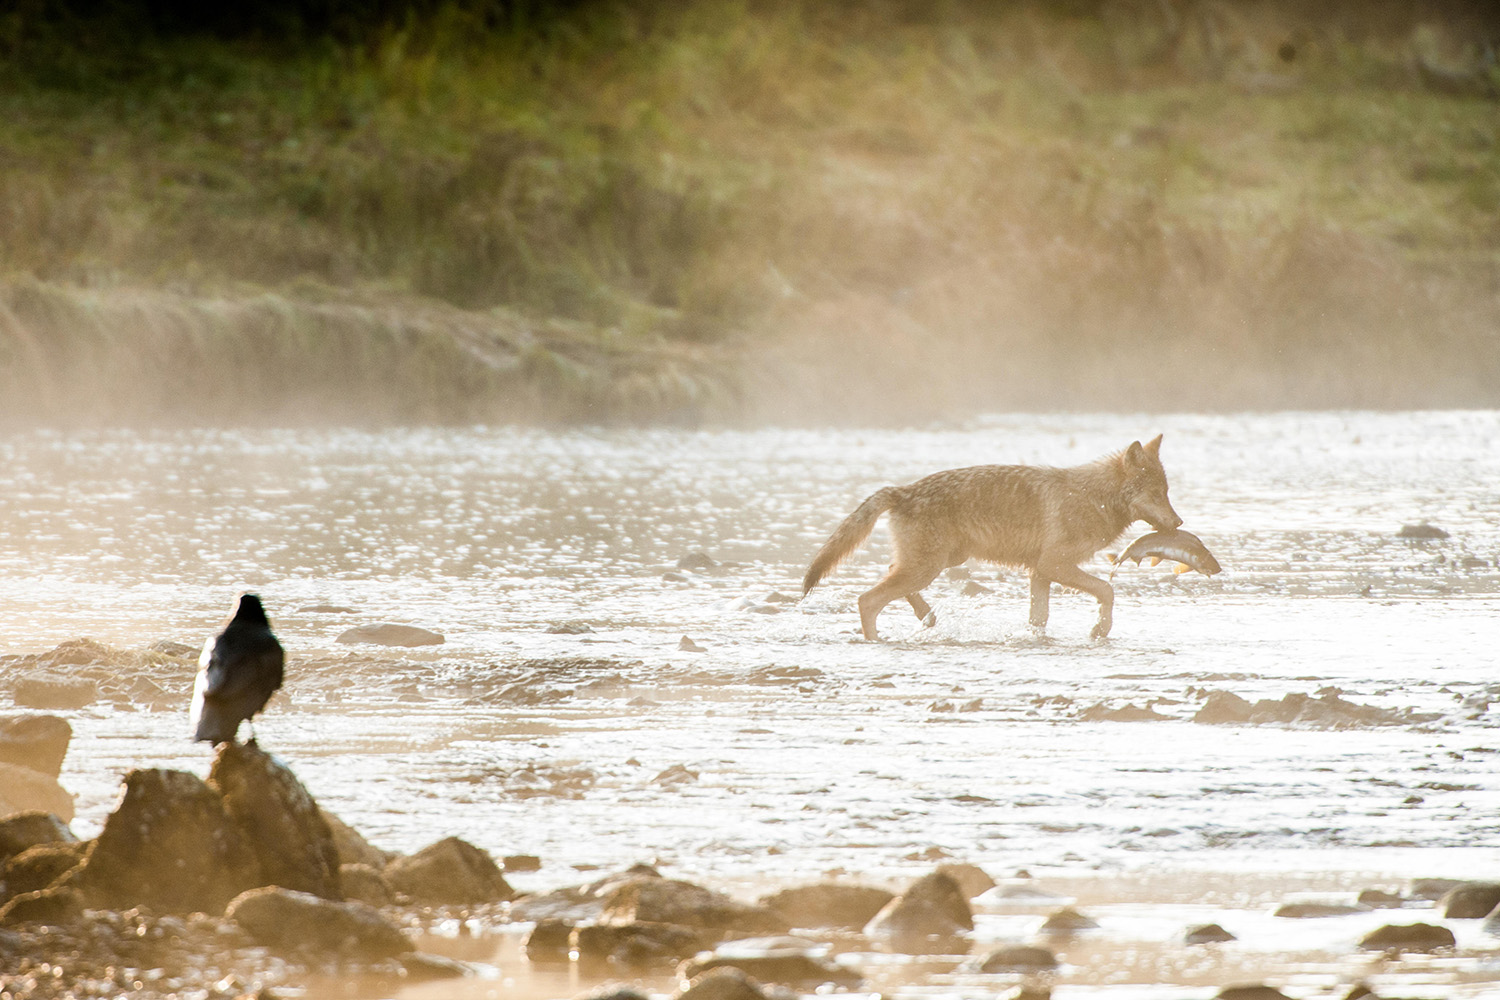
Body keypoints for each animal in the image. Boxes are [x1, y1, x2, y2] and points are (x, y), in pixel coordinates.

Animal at [801, 435, 1183, 640]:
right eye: (1157, 493)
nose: (1179, 521)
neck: (1095, 496)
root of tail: (902, 490)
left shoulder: (1039, 571)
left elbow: (1039, 619)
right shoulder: (1054, 565)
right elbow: (1107, 590)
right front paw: (1100, 630)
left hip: (937, 562)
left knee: (891, 575)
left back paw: (928, 617)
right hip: (928, 567)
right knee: (867, 600)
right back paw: (877, 640)